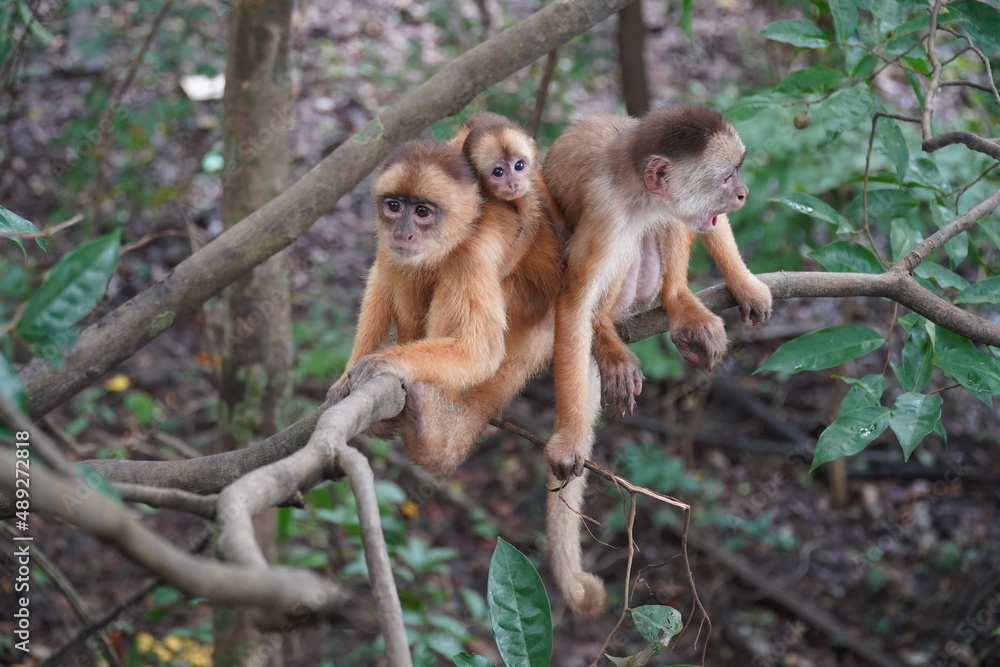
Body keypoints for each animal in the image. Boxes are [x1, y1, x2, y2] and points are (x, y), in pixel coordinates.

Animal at [539, 105, 773, 617]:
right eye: (727, 176)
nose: (742, 193)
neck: (638, 189)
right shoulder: (608, 214)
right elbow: (572, 307)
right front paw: (569, 438)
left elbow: (706, 222)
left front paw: (744, 283)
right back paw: (605, 334)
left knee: (670, 225)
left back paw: (678, 300)